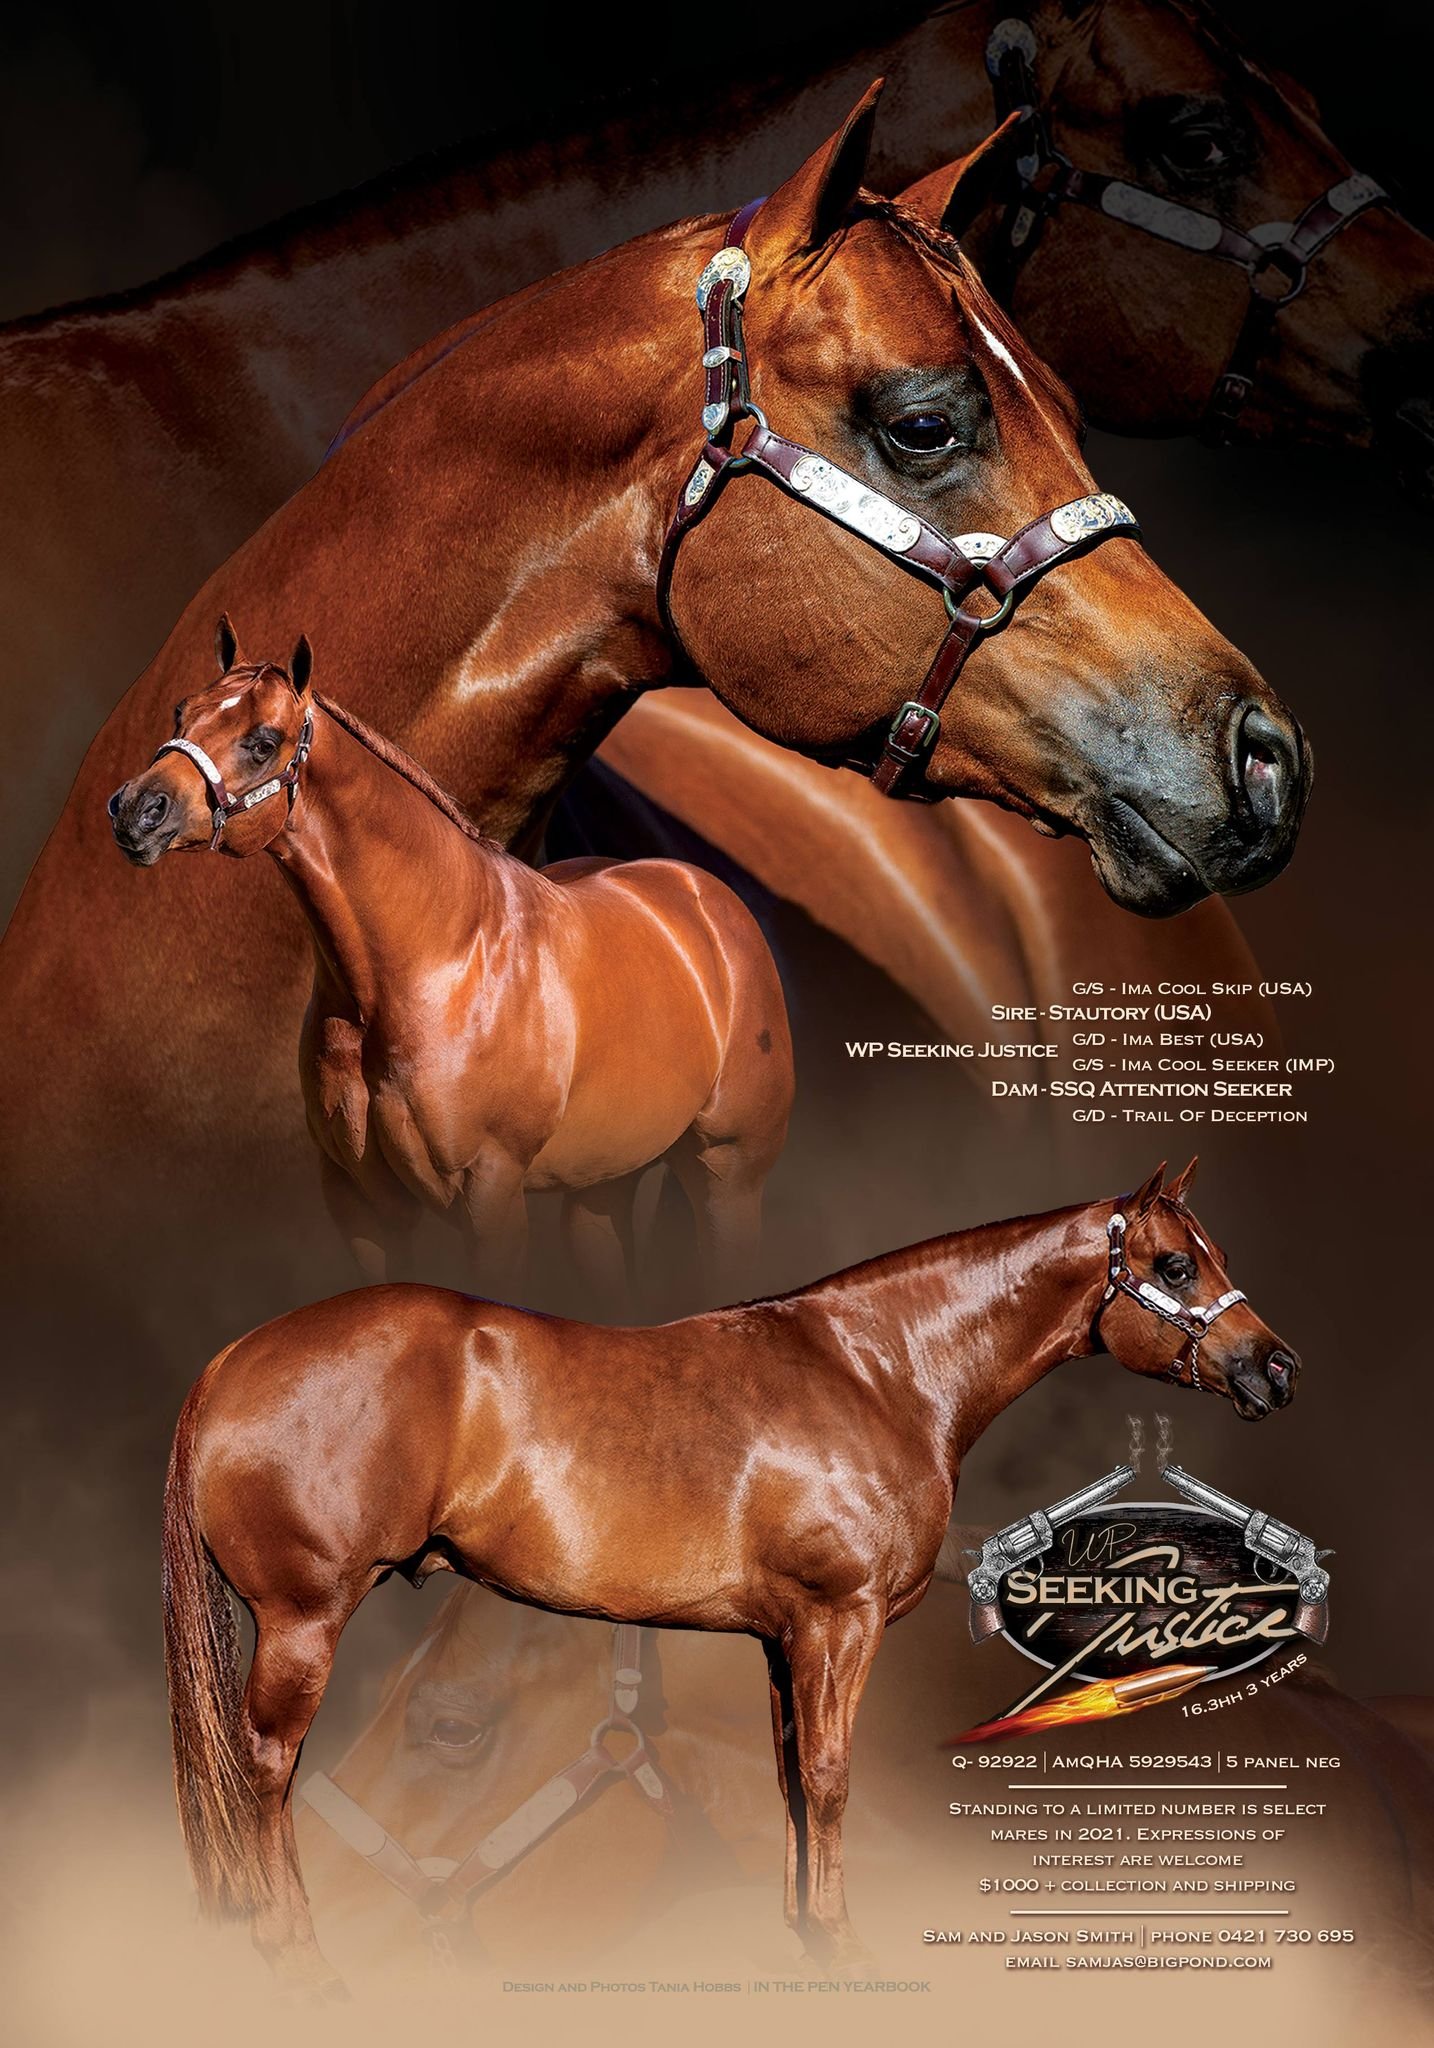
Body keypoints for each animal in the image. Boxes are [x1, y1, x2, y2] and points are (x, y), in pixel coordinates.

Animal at [107, 622, 793, 1300]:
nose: (137, 810)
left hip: (726, 1175)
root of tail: (705, 898)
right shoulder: (361, 1204)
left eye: (262, 742)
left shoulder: (490, 1197)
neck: (434, 964)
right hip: (604, 1185)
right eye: (182, 710)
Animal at [160, 1157, 1300, 1990]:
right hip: (302, 1619)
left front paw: (801, 1929)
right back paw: (295, 1954)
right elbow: (833, 1776)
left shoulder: (783, 1637)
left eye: (1210, 1254)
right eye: (1175, 1264)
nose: (1275, 1368)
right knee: (265, 1766)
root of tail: (231, 1360)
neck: (877, 1369)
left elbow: (795, 1775)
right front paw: (843, 1944)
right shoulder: (841, 1620)